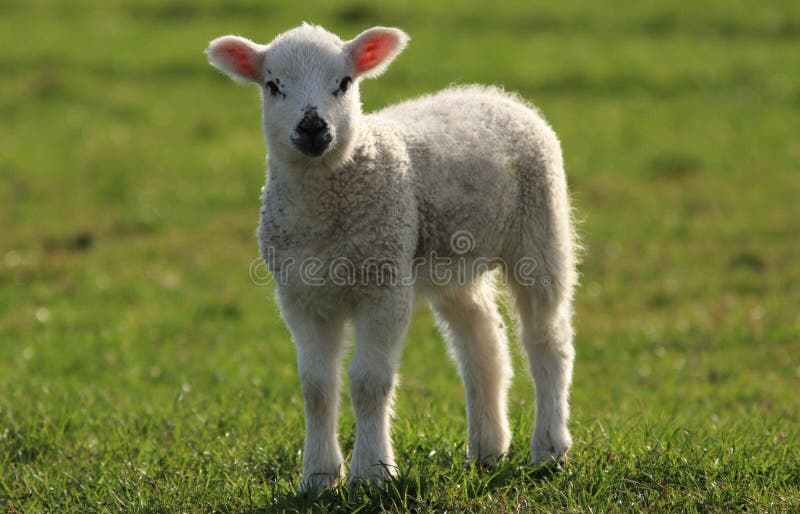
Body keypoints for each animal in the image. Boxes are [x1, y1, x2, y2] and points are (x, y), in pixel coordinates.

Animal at [207, 23, 578, 493]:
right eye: (274, 85)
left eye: (344, 82)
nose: (313, 127)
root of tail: (496, 95)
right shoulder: (300, 296)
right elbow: (316, 387)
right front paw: (318, 477)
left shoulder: (384, 284)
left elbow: (368, 382)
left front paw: (371, 474)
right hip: (453, 261)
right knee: (481, 341)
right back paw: (487, 449)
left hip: (540, 228)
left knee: (547, 340)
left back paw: (548, 448)